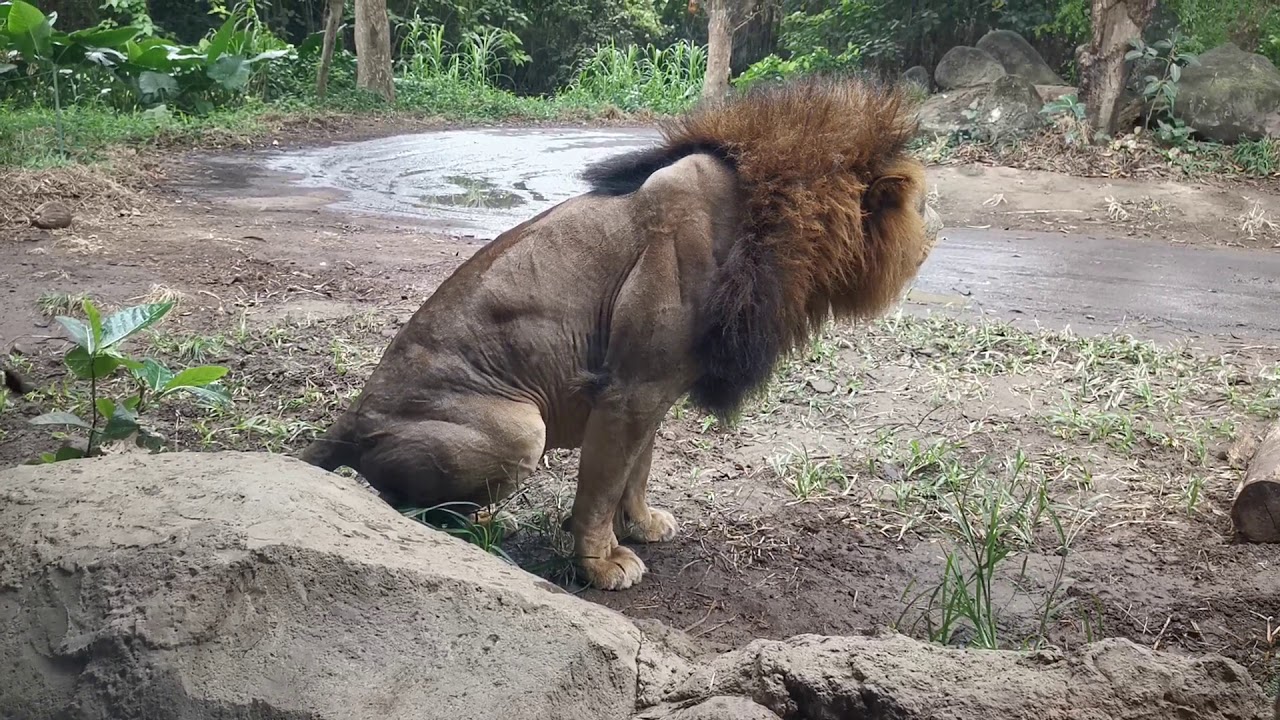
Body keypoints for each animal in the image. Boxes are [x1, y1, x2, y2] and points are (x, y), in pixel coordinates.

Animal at [298, 75, 941, 590]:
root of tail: (349, 420)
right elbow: (602, 485)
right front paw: (602, 562)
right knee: (405, 509)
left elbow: (637, 470)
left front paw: (643, 524)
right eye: (921, 206)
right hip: (521, 429)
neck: (764, 215)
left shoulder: (652, 393)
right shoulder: (629, 390)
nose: (936, 234)